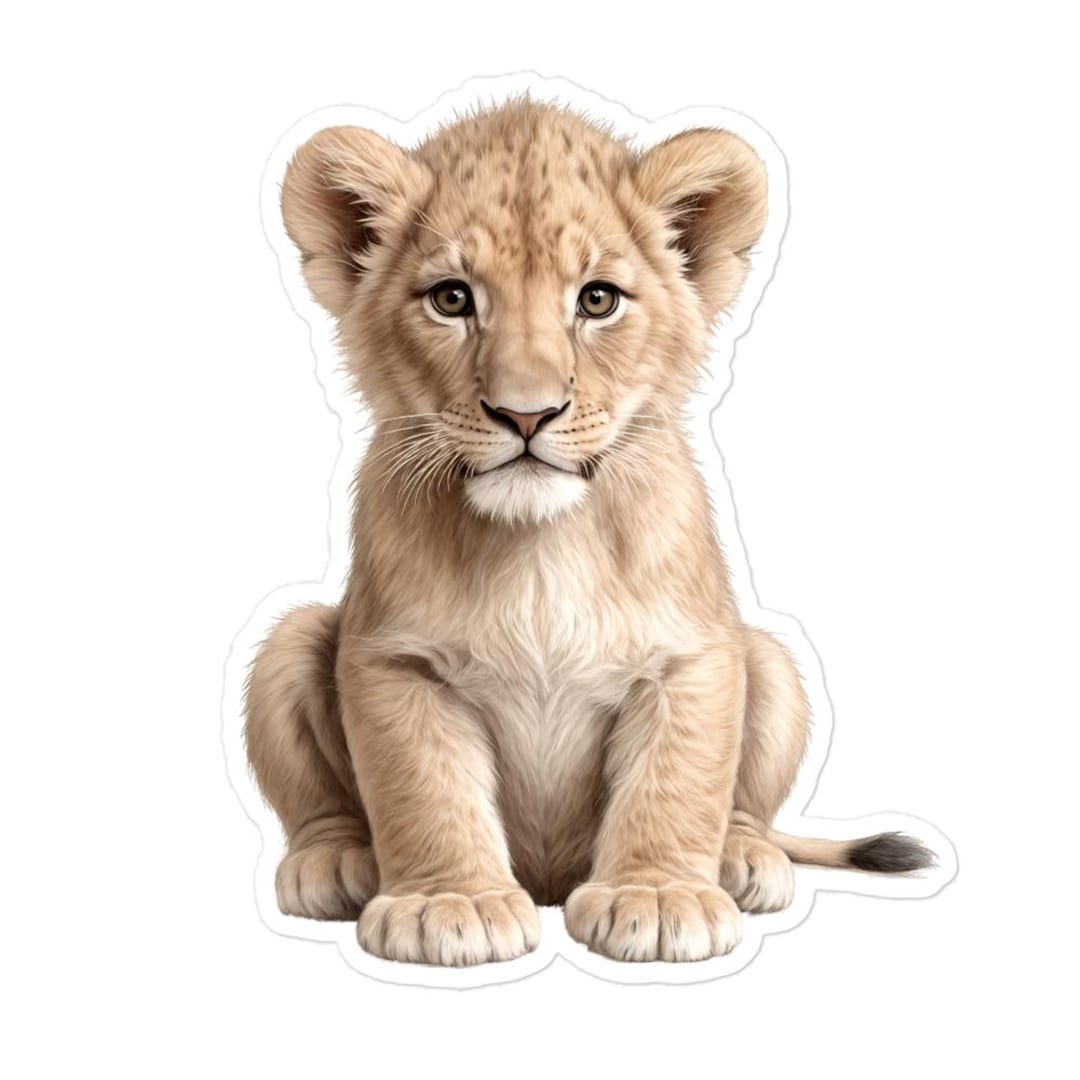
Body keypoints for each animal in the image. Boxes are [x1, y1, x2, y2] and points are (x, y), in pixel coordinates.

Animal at [244, 98, 933, 966]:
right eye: (452, 299)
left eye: (598, 301)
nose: (526, 413)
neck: (538, 545)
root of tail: (548, 881)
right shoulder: (395, 661)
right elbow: (424, 790)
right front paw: (450, 903)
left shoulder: (692, 655)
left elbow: (676, 781)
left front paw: (662, 897)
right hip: (295, 640)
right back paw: (337, 862)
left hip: (768, 659)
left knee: (745, 791)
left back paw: (740, 857)